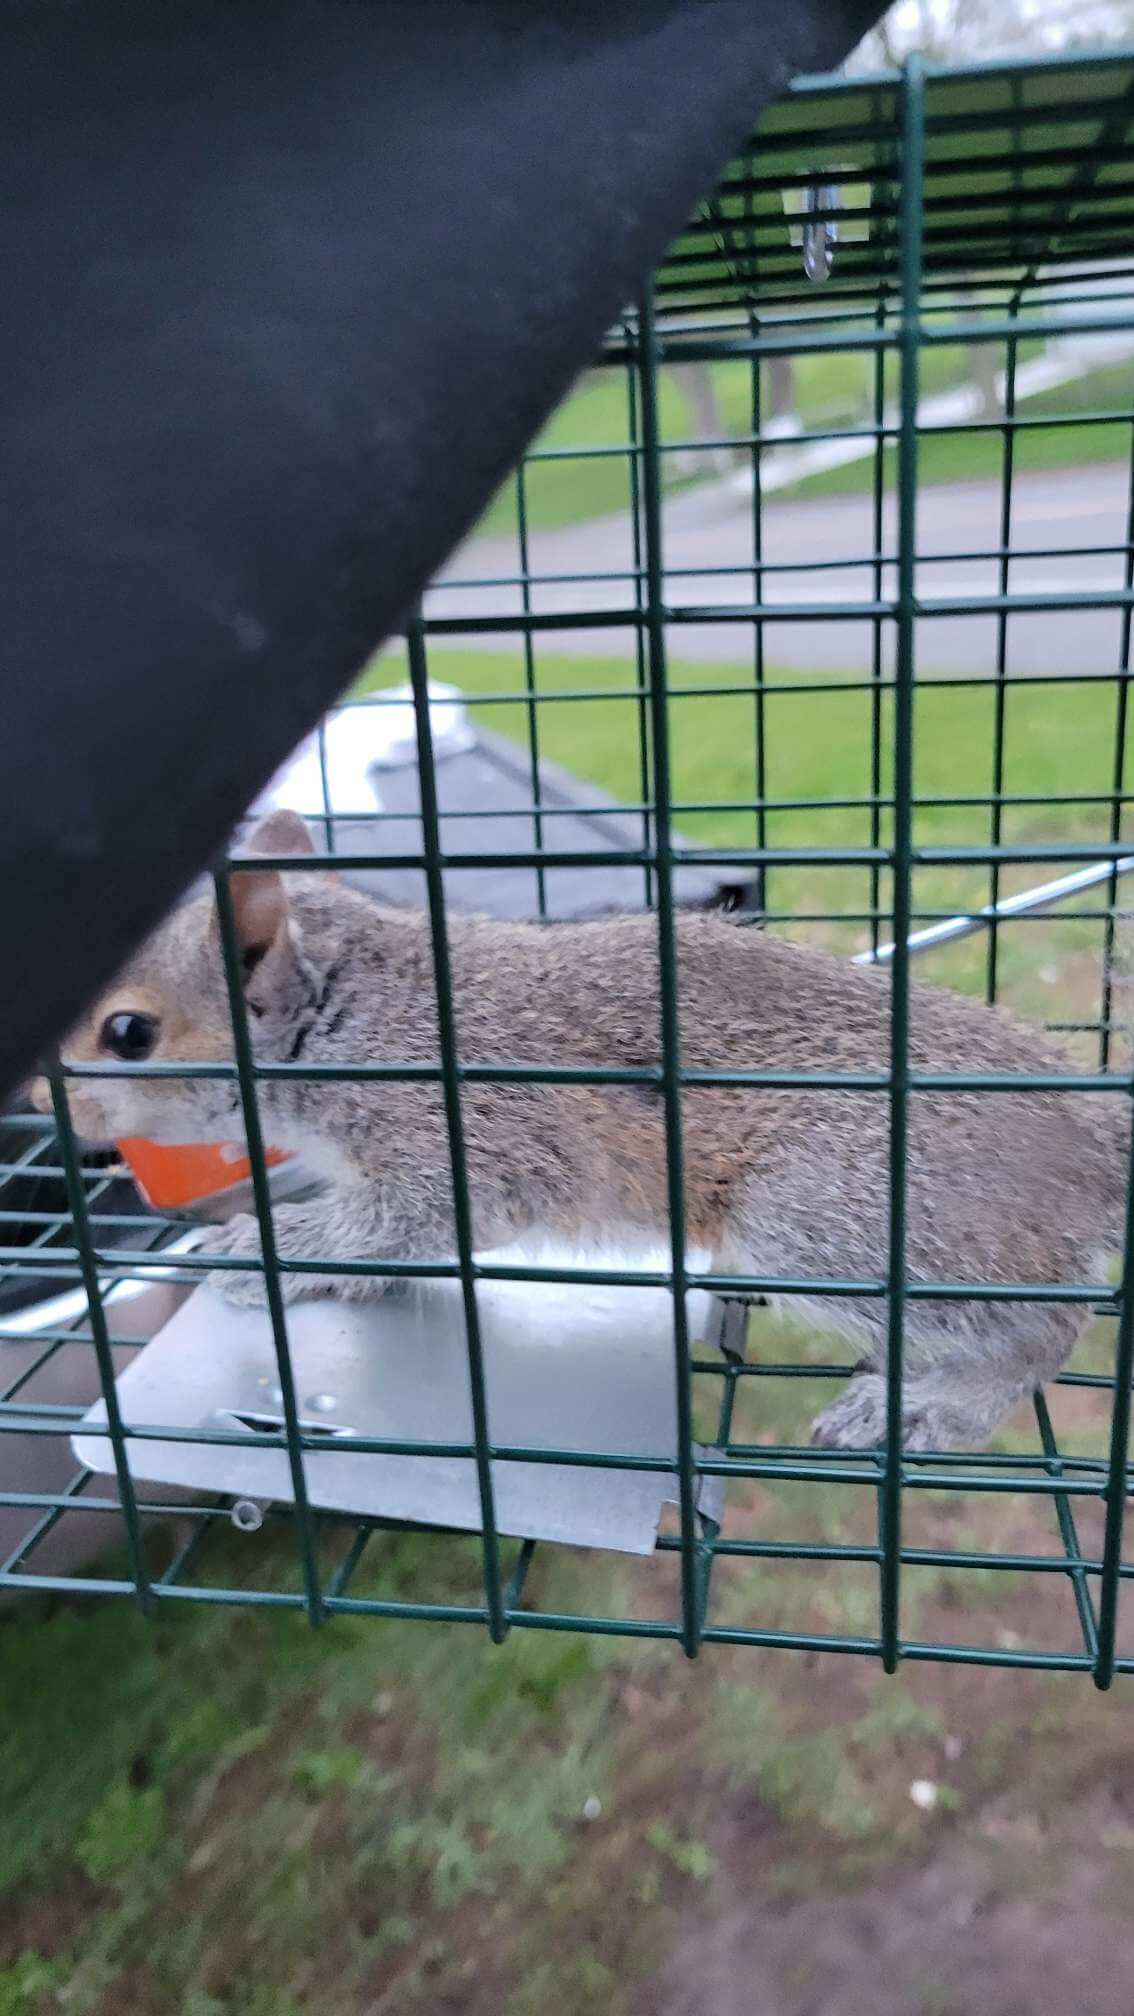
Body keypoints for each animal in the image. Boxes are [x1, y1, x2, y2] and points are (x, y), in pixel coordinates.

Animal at [35, 808, 1130, 1453]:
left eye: (127, 1032)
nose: (47, 1106)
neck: (356, 1012)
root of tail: (1081, 1123)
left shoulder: (454, 1139)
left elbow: (398, 1223)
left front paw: (257, 1247)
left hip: (830, 1208)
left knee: (1041, 1324)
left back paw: (933, 1403)